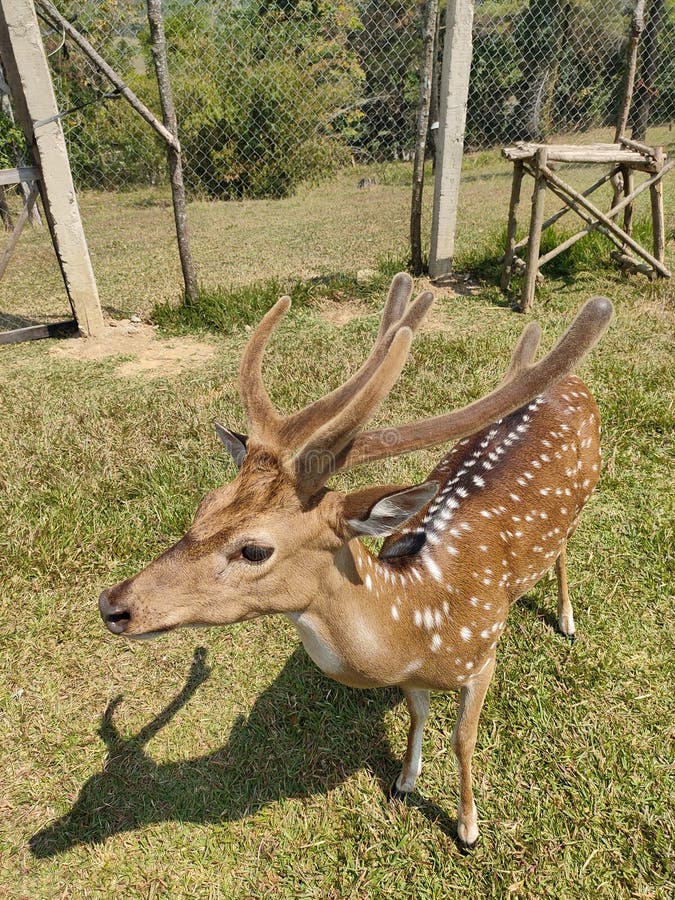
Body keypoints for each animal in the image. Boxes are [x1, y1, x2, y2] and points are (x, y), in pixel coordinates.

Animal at [98, 274, 613, 848]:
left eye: (255, 549)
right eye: (204, 505)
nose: (113, 604)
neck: (419, 624)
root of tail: (574, 383)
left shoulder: (482, 656)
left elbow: (463, 740)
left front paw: (468, 826)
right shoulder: (413, 679)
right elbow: (415, 716)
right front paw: (405, 781)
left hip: (584, 496)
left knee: (564, 549)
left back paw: (567, 620)